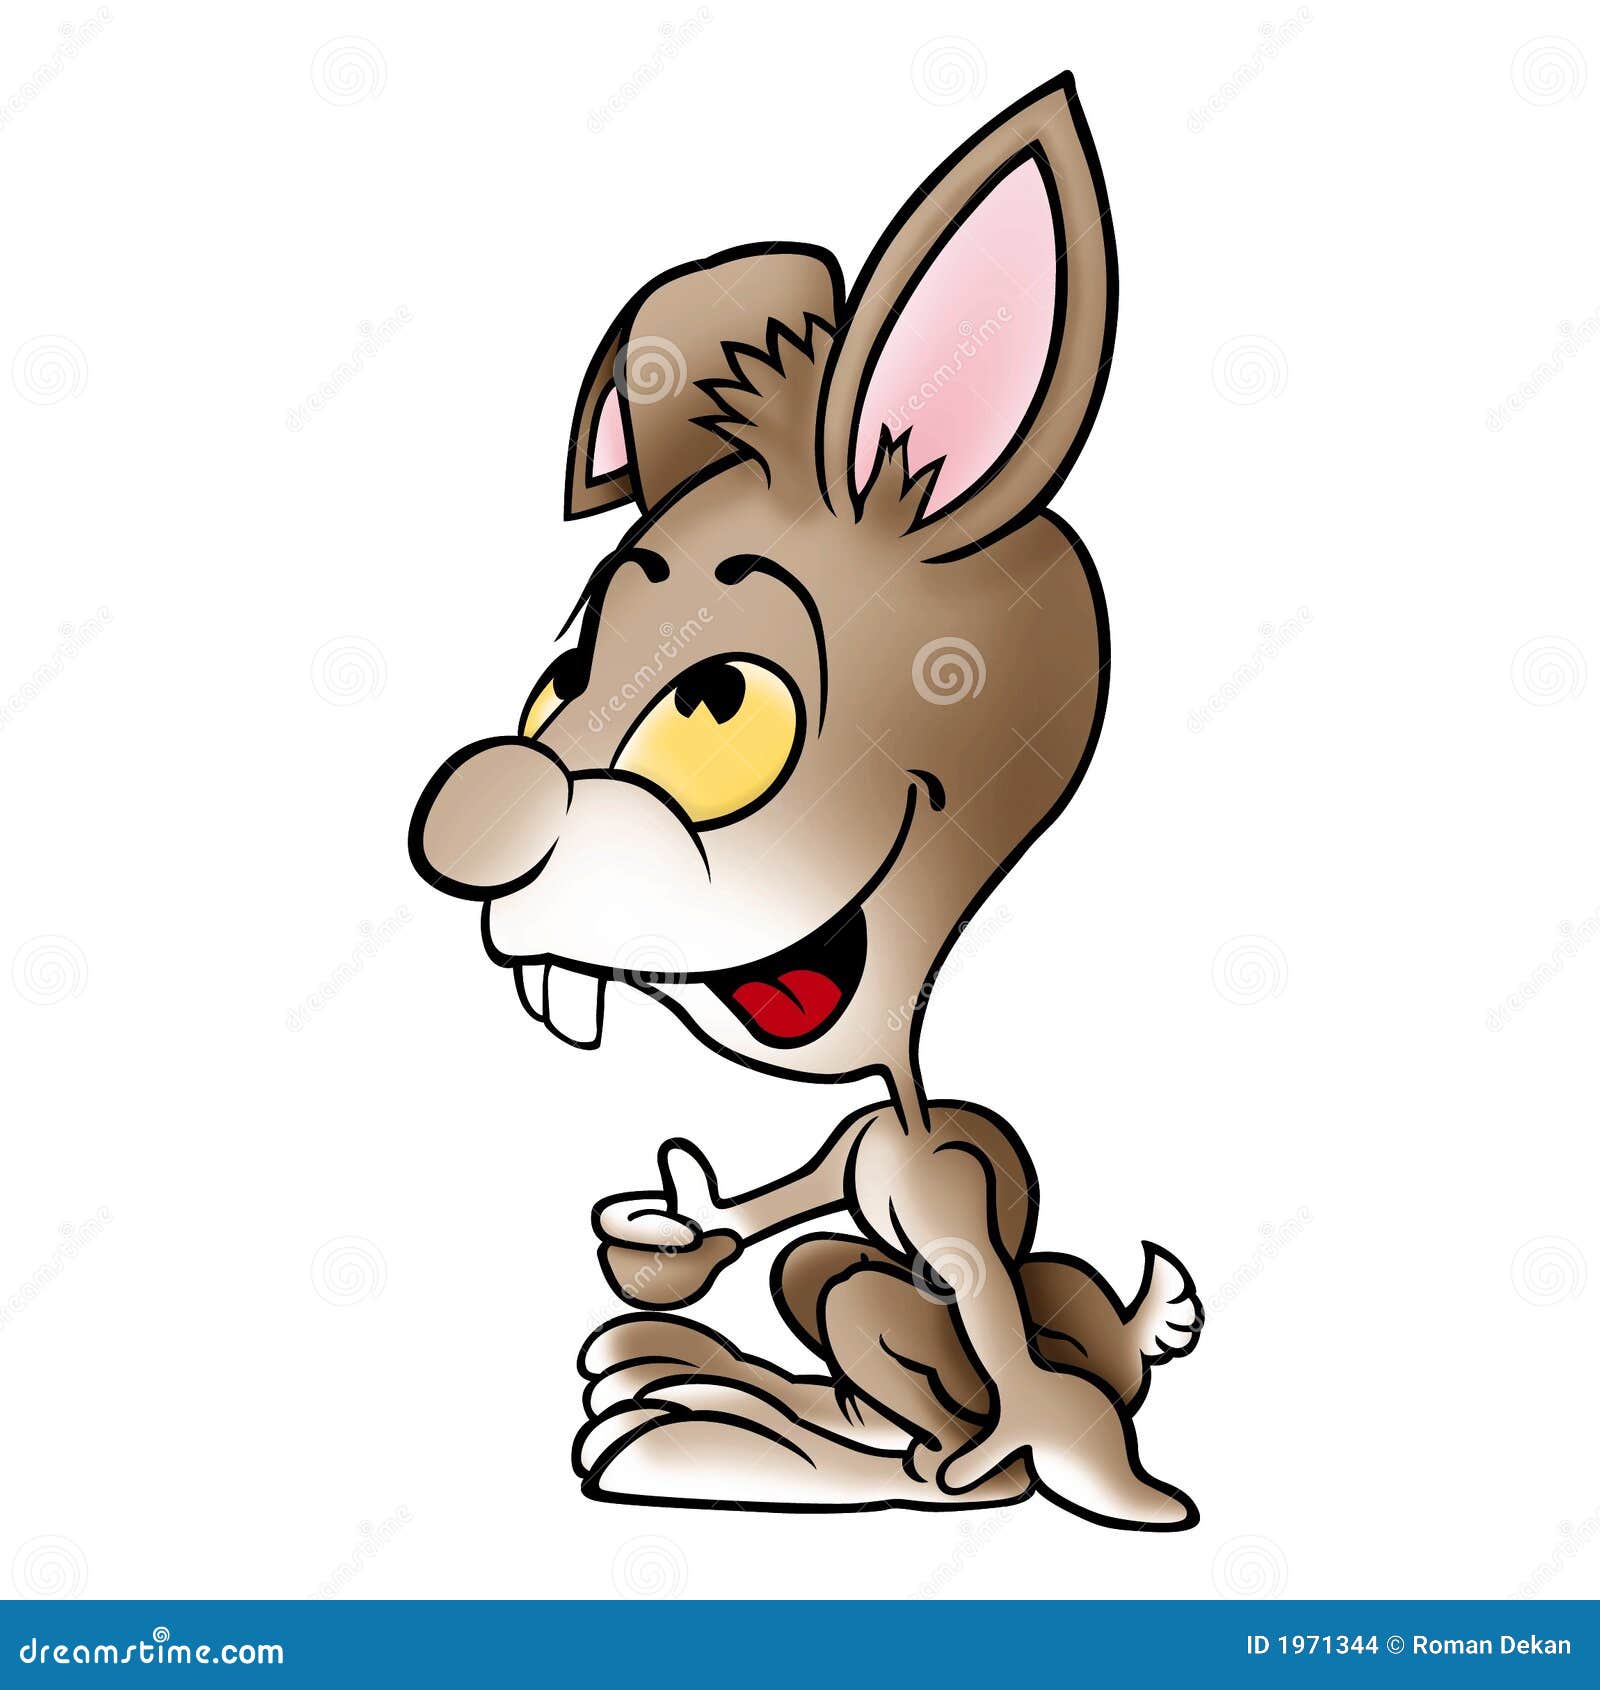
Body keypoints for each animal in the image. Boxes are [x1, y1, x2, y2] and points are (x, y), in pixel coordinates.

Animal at [410, 72, 1202, 1527]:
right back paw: (713, 1382)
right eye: (560, 686)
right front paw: (682, 1226)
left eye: (720, 707)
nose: (465, 835)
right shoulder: (848, 1137)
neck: (905, 1093)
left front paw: (1085, 1463)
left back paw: (762, 1432)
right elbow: (770, 1210)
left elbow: (1010, 1369)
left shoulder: (934, 1185)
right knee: (815, 1275)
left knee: (957, 1453)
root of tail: (1113, 1335)